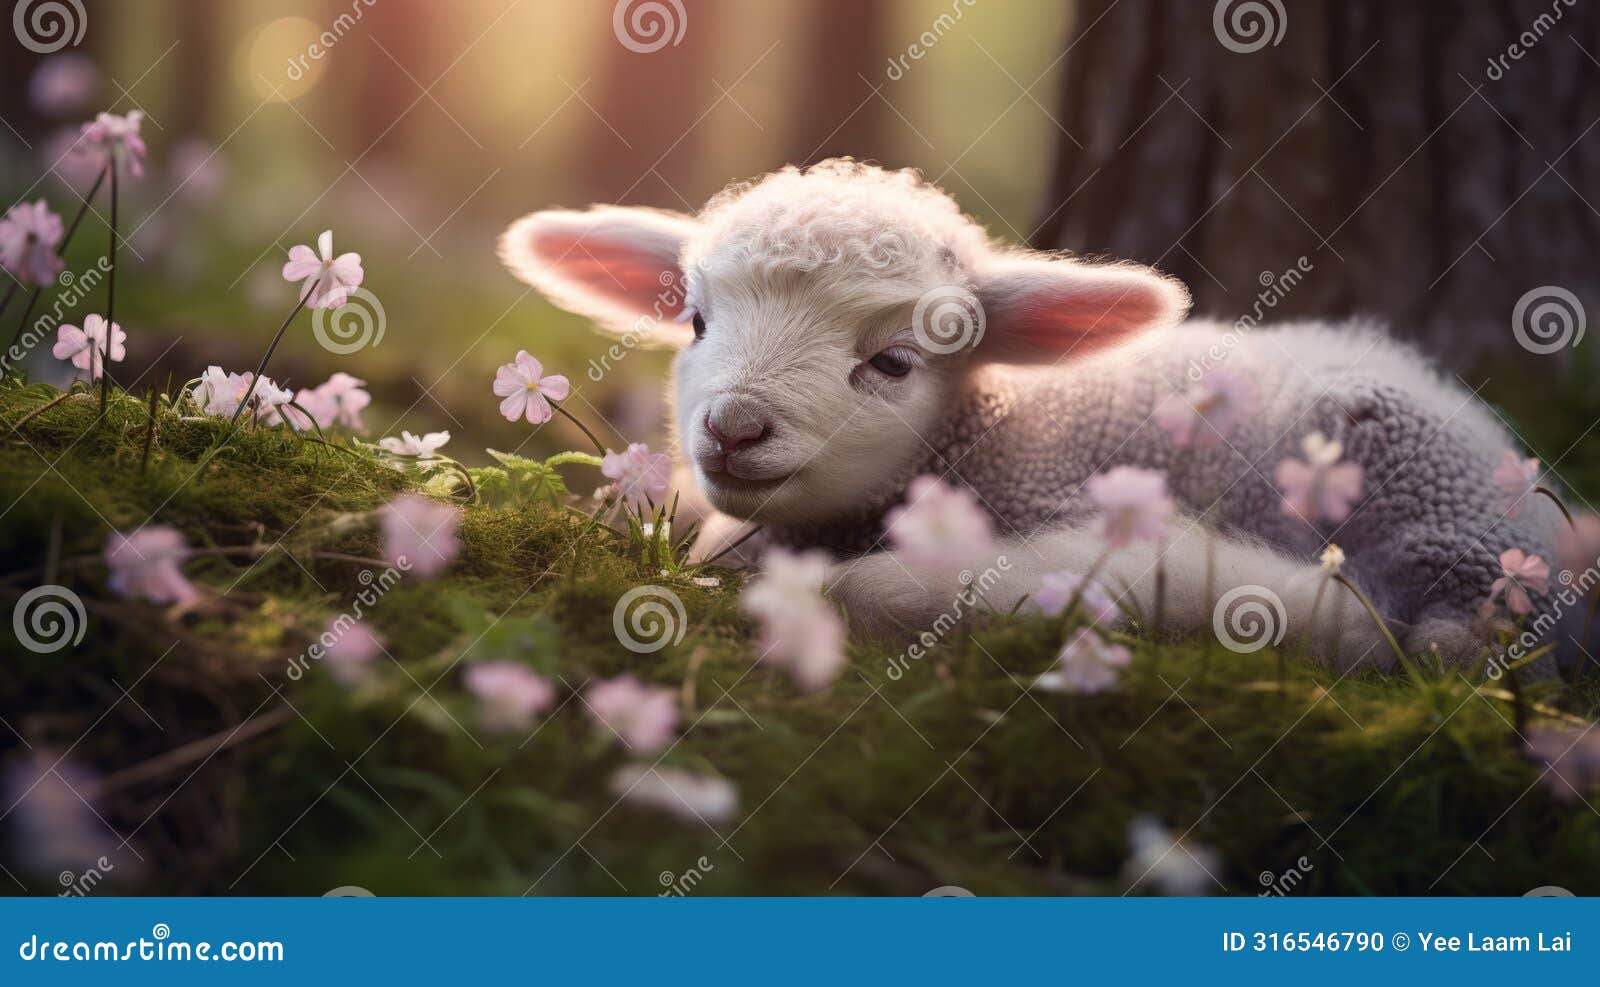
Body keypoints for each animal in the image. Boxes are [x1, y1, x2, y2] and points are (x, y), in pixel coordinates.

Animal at [499, 159, 1564, 670]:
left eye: (894, 361)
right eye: (696, 321)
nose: (734, 428)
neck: (1001, 430)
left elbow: (867, 590)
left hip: (1433, 522)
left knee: (1419, 639)